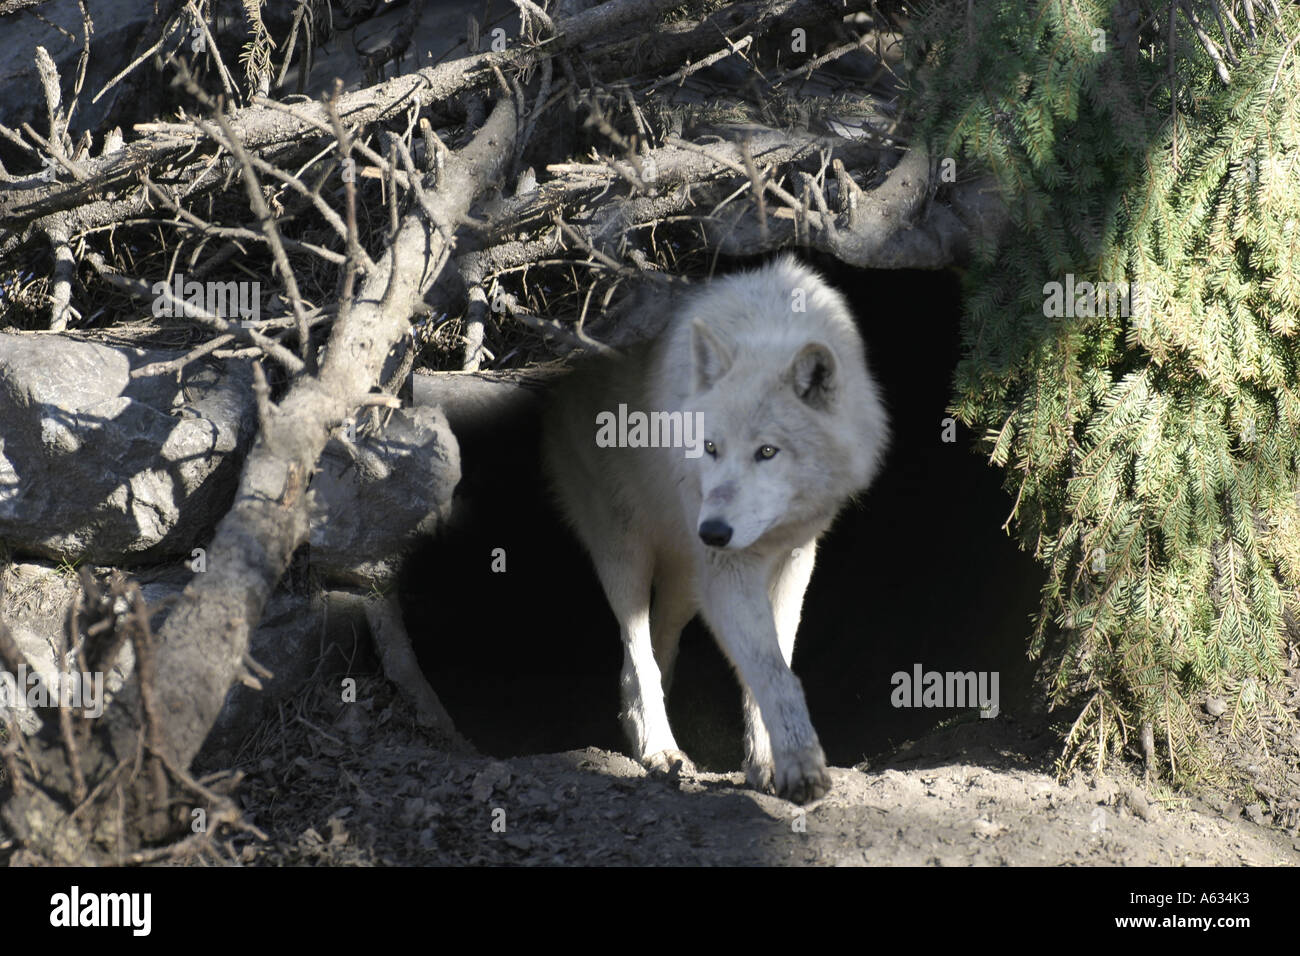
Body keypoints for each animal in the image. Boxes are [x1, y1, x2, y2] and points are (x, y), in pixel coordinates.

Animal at [542, 255, 889, 803]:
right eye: (709, 447)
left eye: (767, 451)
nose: (714, 532)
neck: (769, 330)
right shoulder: (727, 570)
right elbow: (770, 668)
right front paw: (800, 767)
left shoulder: (796, 556)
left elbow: (774, 660)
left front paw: (767, 761)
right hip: (628, 547)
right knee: (637, 646)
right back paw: (659, 748)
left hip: (686, 575)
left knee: (657, 646)